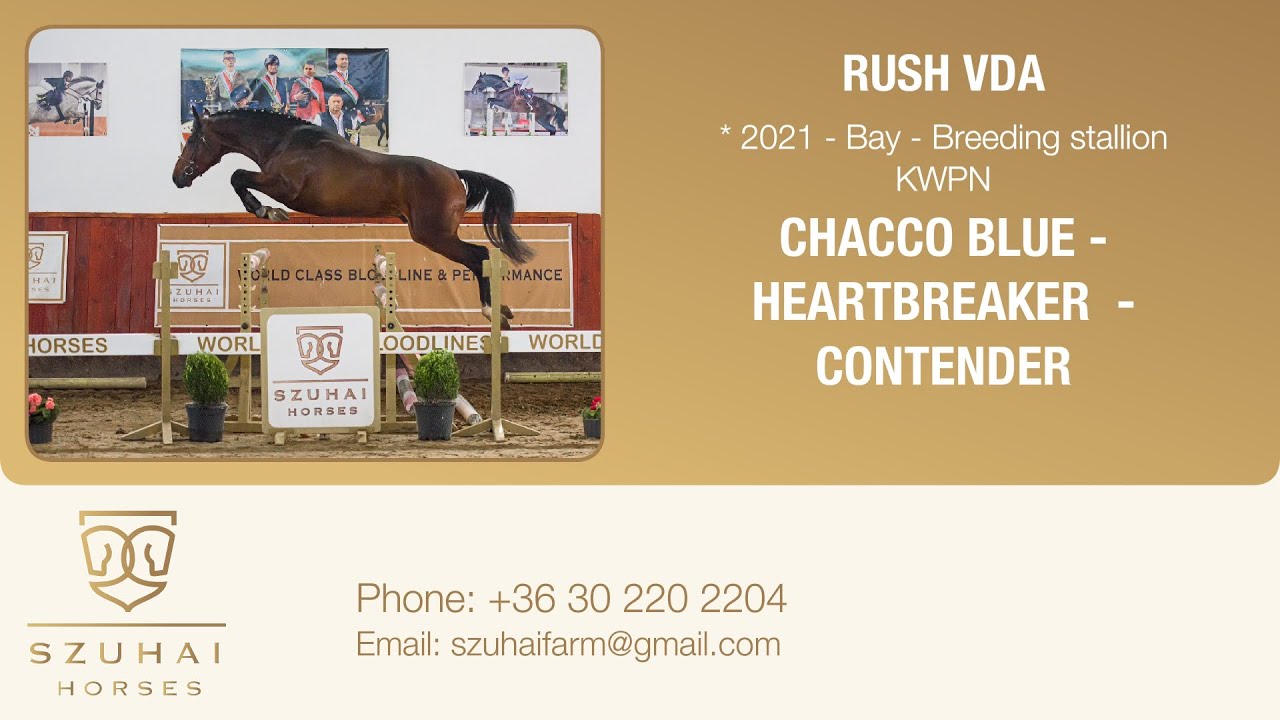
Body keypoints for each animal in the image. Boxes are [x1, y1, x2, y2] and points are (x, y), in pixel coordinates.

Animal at [172, 106, 532, 326]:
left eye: (192, 141)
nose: (177, 178)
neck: (284, 142)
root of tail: (454, 174)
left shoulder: (285, 187)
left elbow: (238, 176)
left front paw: (266, 210)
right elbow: (239, 177)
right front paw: (266, 210)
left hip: (434, 236)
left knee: (479, 255)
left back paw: (492, 310)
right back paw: (502, 309)